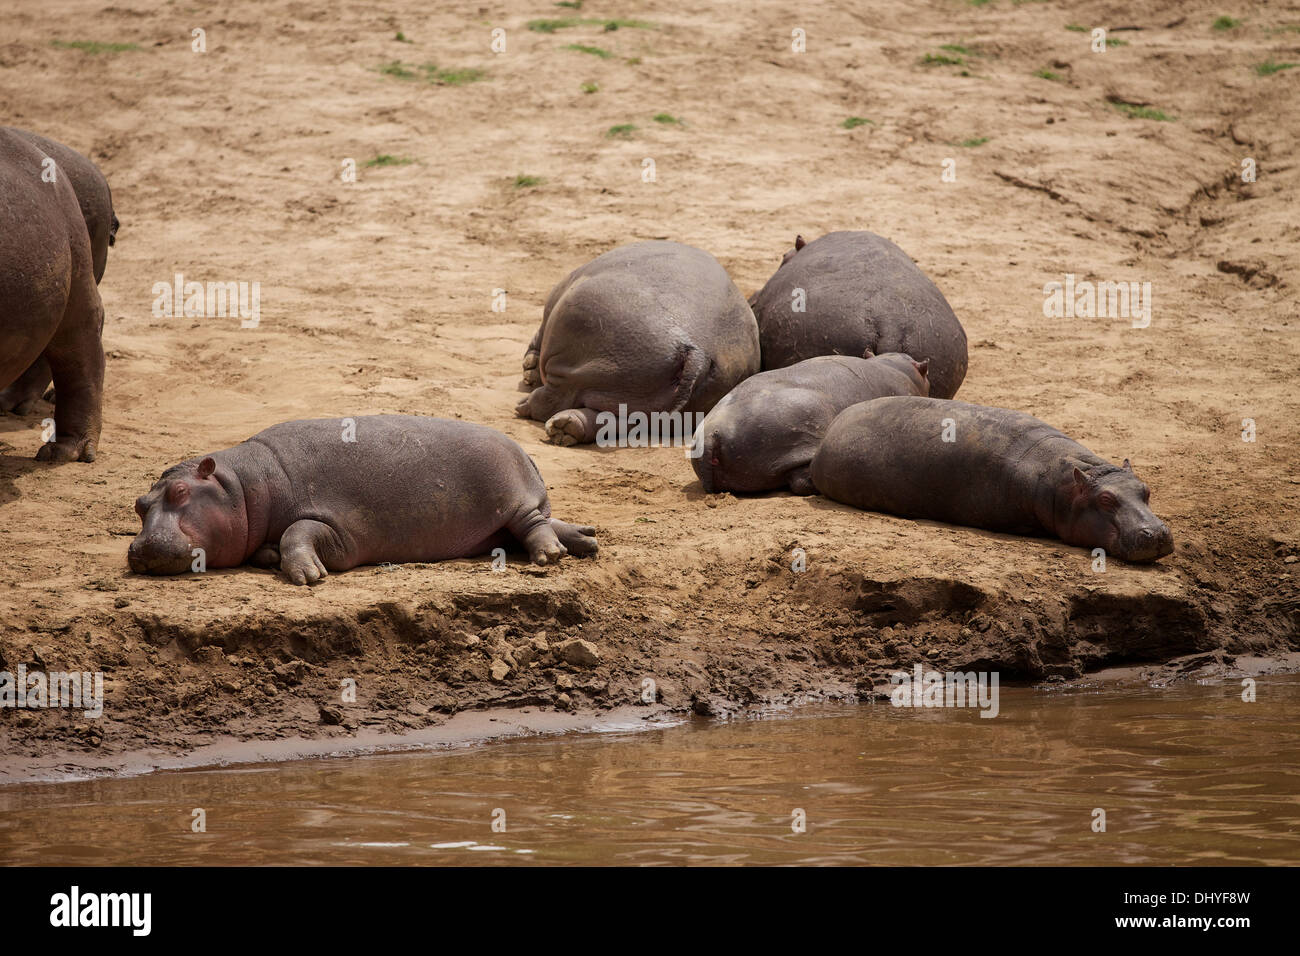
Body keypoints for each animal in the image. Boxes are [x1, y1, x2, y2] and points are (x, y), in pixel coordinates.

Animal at [128, 415, 598, 584]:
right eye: (139, 504)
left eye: (181, 491)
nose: (140, 548)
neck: (242, 486)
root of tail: (524, 450)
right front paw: (271, 558)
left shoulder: (337, 528)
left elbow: (297, 531)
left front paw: (309, 576)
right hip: (501, 521)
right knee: (540, 524)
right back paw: (588, 538)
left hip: (513, 500)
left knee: (534, 526)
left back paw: (551, 556)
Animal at [516, 241, 760, 446]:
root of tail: (697, 350)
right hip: (636, 395)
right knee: (613, 420)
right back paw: (564, 427)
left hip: (578, 357)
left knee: (555, 396)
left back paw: (527, 407)